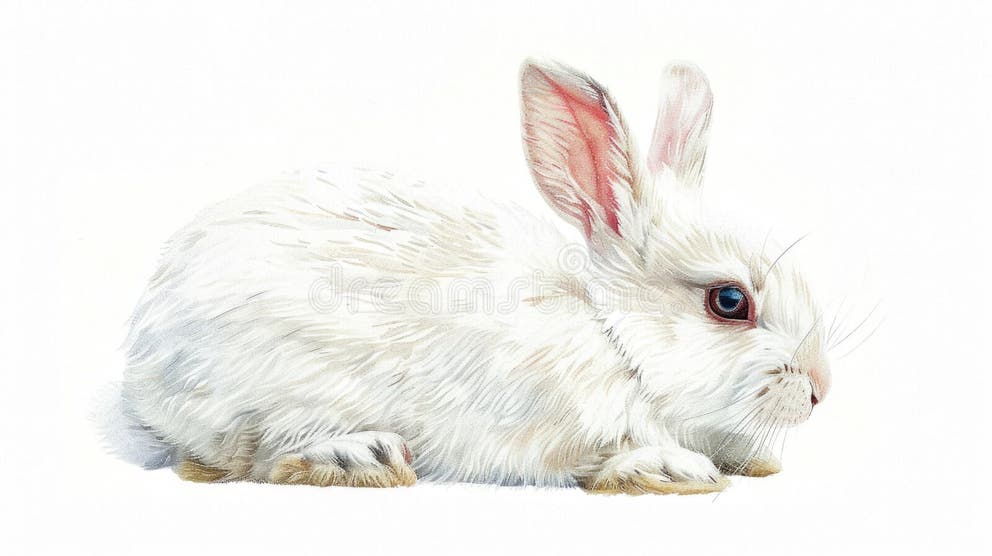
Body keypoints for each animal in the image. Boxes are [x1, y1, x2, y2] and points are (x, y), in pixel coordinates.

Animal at [103, 59, 831, 495]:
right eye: (729, 302)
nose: (821, 392)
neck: (614, 336)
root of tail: (140, 366)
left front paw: (757, 463)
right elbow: (597, 462)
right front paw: (671, 469)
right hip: (261, 389)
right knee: (246, 457)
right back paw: (358, 457)